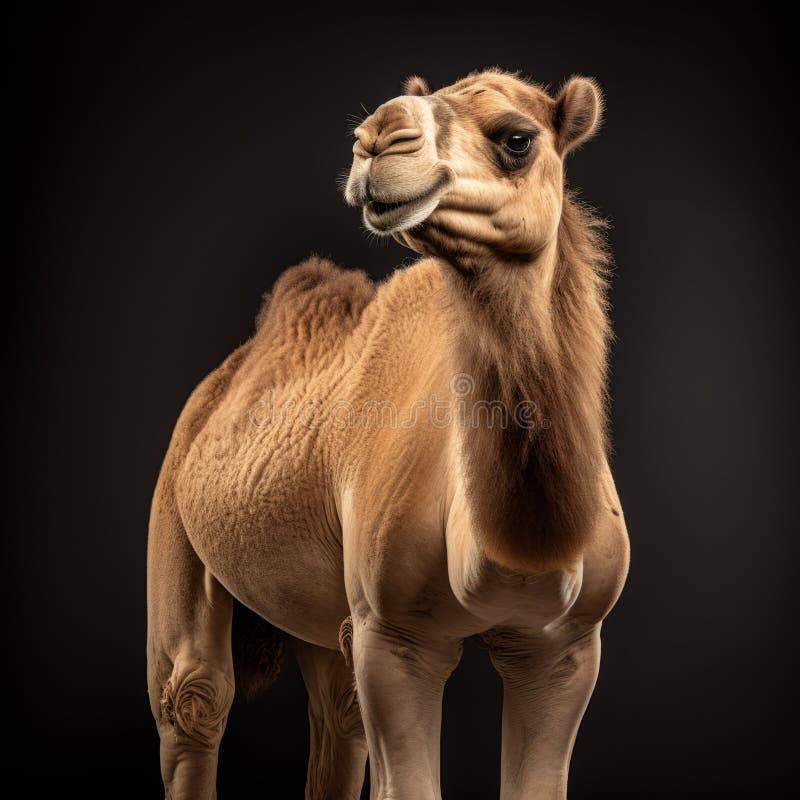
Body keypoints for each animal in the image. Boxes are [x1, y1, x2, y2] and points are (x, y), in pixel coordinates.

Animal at [147, 69, 630, 800]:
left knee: (336, 710)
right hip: (175, 513)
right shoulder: (395, 636)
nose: (376, 138)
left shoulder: (564, 645)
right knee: (195, 695)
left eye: (517, 139)